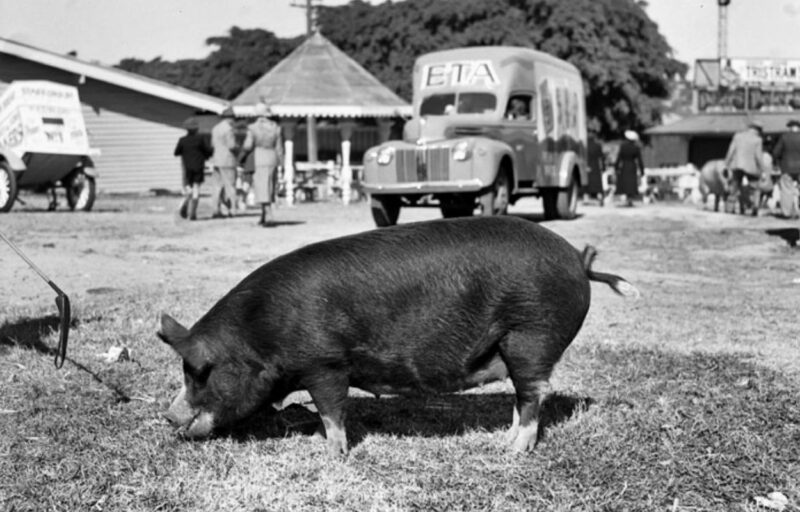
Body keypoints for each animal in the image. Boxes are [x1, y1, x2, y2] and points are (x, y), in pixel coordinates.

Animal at [157, 216, 639, 455]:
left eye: (199, 372)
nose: (167, 416)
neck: (262, 333)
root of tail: (578, 261)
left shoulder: (326, 362)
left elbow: (332, 411)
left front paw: (327, 452)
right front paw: (315, 441)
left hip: (531, 334)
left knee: (535, 392)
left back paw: (514, 451)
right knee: (525, 398)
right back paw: (503, 440)